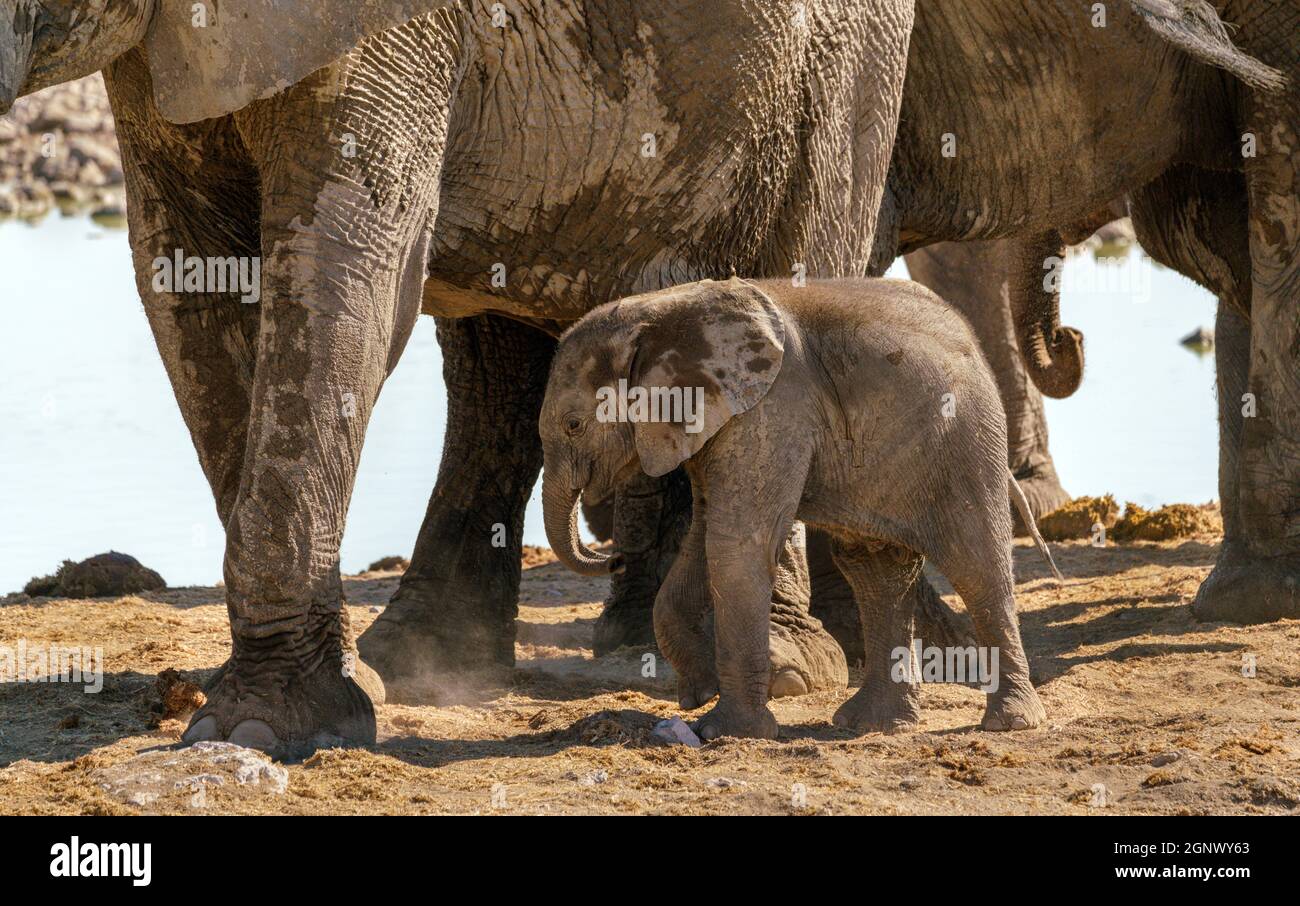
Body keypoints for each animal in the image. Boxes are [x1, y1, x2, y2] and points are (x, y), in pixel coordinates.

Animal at [1, 0, 917, 752]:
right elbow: (189, 285)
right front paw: (305, 699)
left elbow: (345, 281)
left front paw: (262, 728)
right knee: (492, 371)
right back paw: (427, 659)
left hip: (840, 79)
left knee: (795, 260)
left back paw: (779, 667)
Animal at [539, 276, 1060, 738]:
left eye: (573, 425)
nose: (610, 556)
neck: (658, 309)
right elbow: (705, 539)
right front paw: (698, 692)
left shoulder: (771, 410)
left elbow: (735, 544)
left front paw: (726, 731)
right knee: (877, 570)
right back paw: (872, 725)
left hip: (965, 439)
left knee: (975, 562)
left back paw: (1010, 723)